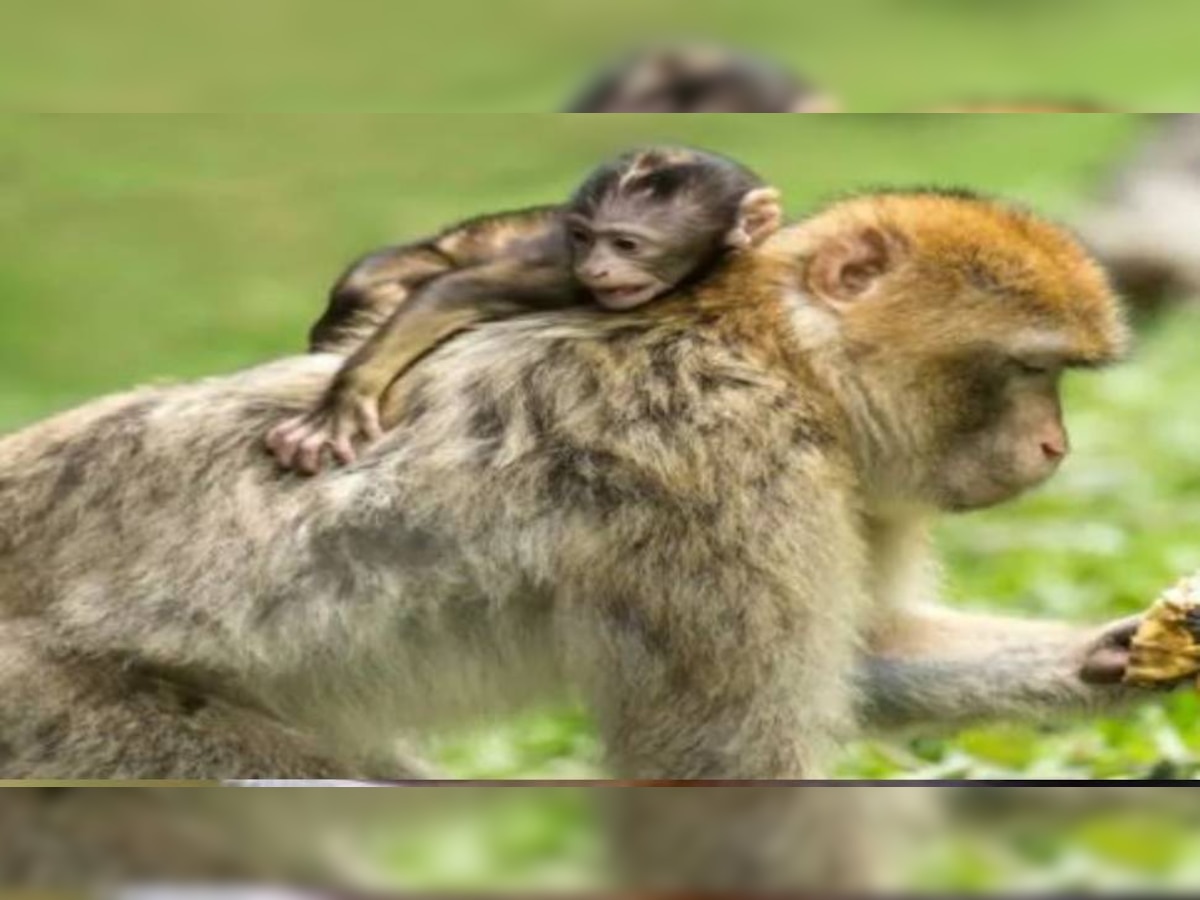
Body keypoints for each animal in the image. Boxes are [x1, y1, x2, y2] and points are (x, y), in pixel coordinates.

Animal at [266, 147, 784, 473]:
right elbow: (454, 292)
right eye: (582, 238)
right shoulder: (561, 273)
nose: (597, 268)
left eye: (626, 244)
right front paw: (343, 402)